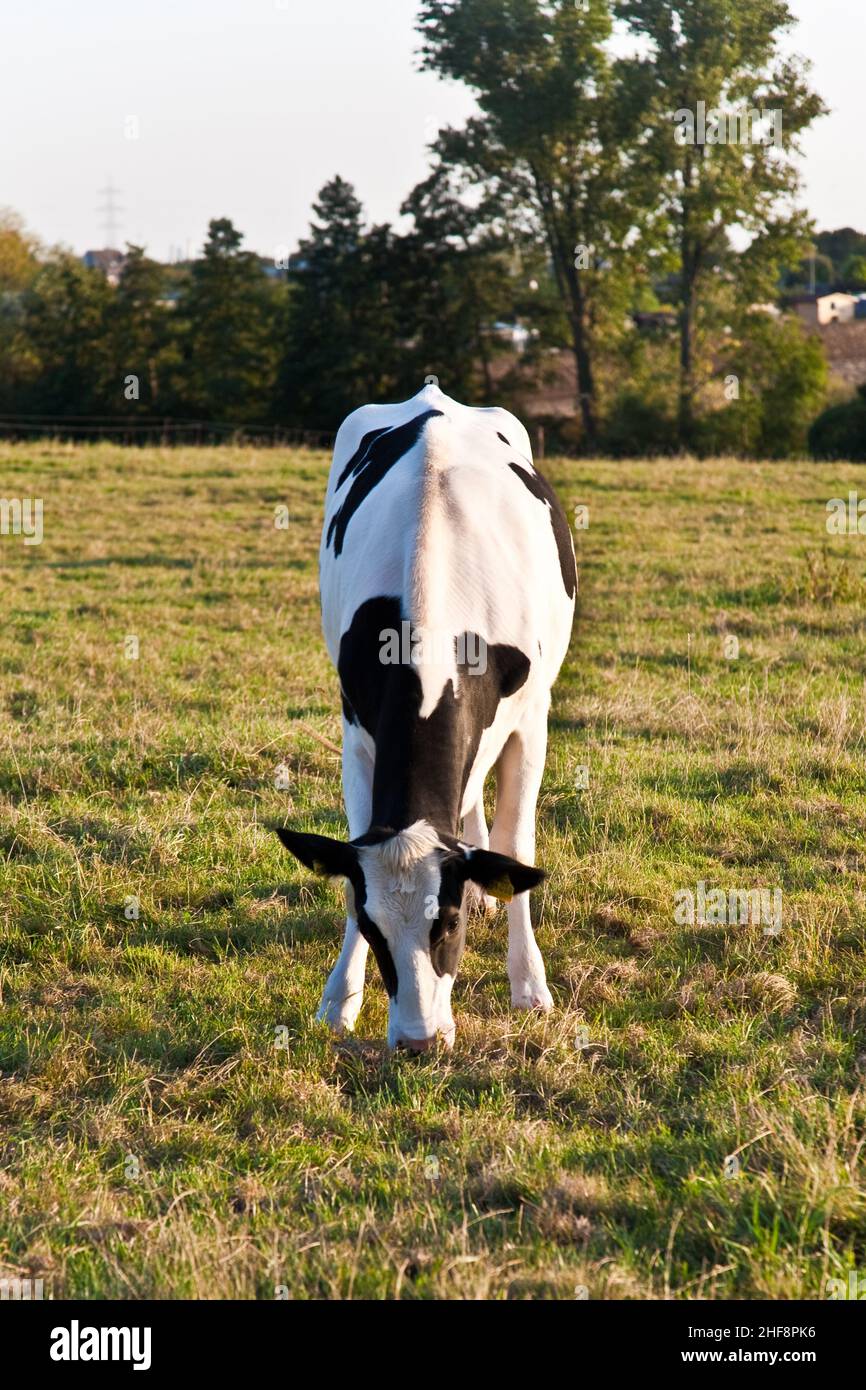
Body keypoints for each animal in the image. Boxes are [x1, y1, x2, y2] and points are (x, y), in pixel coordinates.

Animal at [275, 383, 576, 1051]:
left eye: (450, 923)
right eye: (372, 926)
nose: (418, 1041)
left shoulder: (531, 722)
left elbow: (517, 843)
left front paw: (530, 986)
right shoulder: (356, 734)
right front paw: (340, 999)